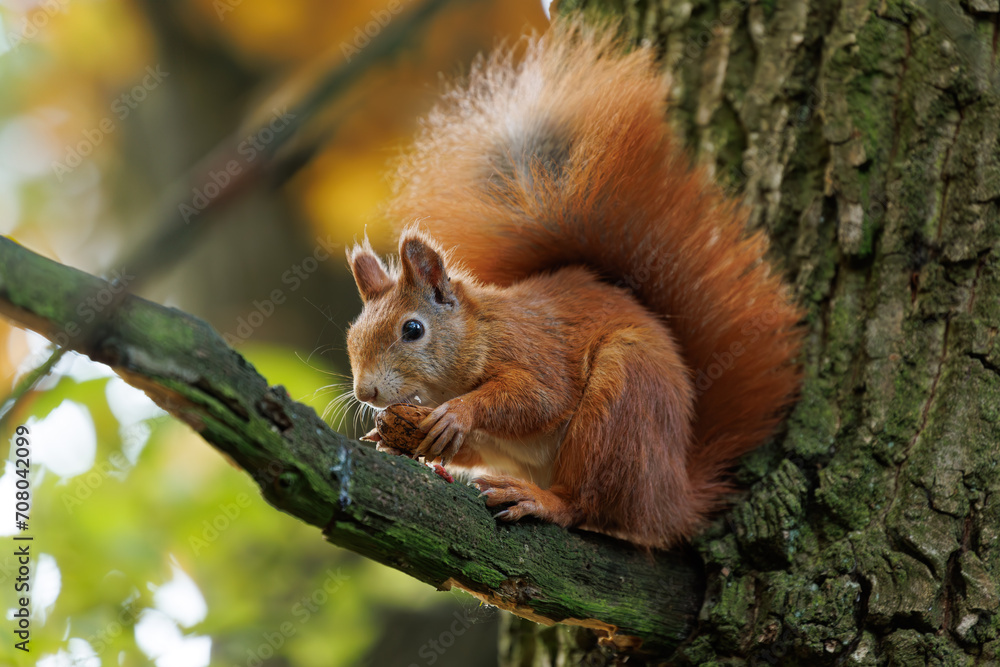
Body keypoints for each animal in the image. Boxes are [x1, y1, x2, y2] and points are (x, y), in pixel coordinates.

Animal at [344, 19, 803, 549]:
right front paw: (392, 436)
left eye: (413, 330)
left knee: (591, 504)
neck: (481, 334)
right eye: (352, 336)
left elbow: (538, 399)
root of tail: (673, 498)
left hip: (622, 401)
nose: (366, 393)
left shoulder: (532, 349)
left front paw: (459, 413)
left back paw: (543, 500)